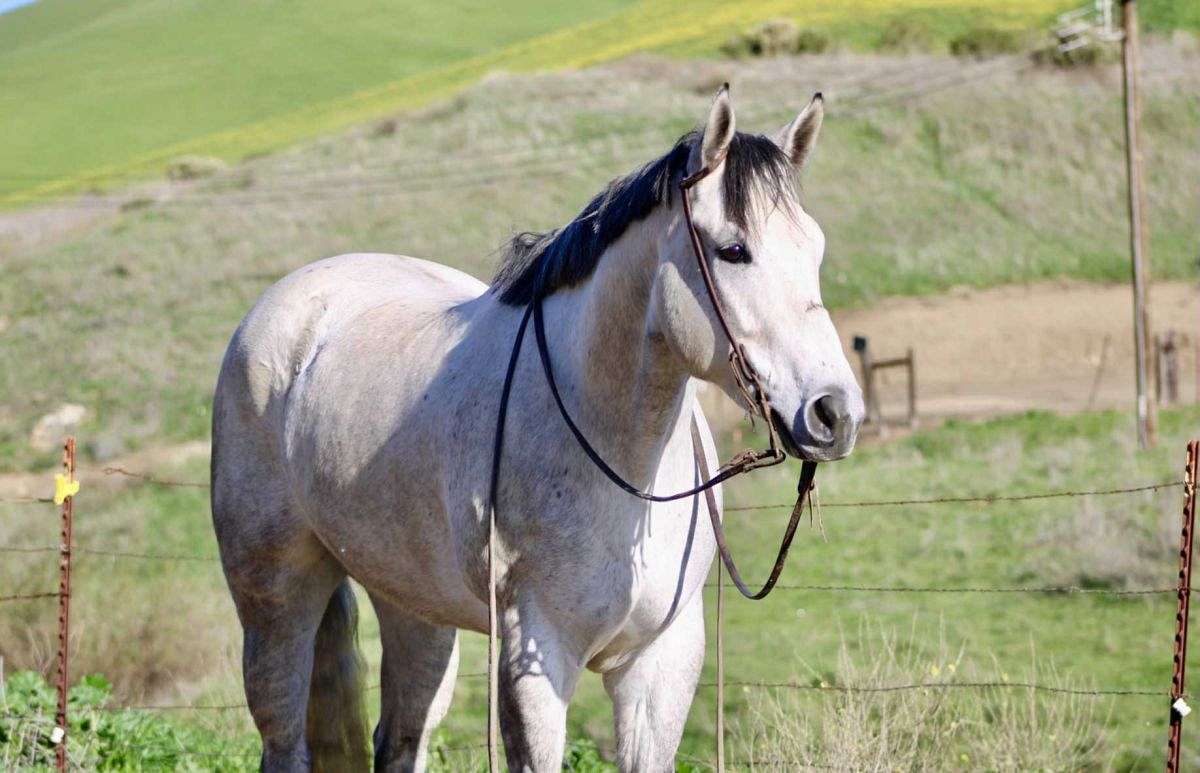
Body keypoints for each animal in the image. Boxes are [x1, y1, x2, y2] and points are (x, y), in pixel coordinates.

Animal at [211, 86, 864, 772]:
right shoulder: (537, 657)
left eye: (814, 248)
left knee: (401, 739)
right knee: (285, 738)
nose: (834, 412)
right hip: (275, 600)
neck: (622, 466)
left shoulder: (659, 664)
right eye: (733, 249)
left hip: (414, 605)